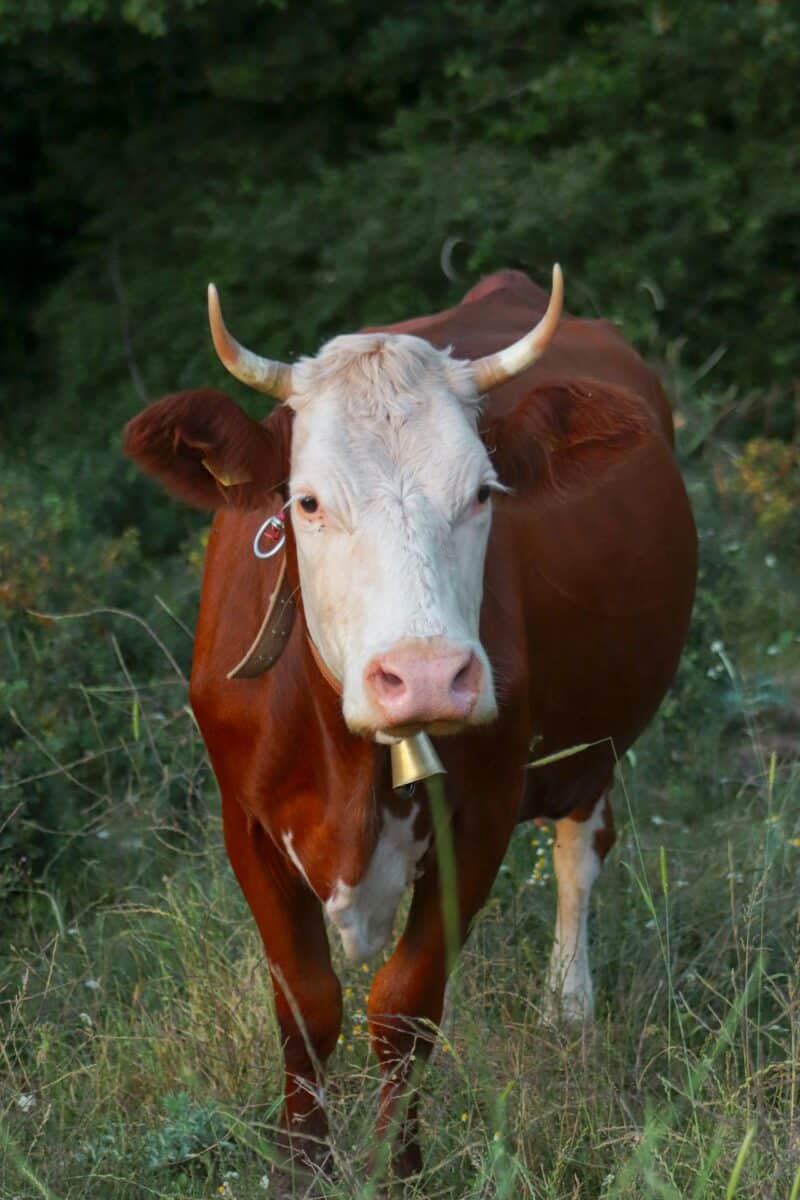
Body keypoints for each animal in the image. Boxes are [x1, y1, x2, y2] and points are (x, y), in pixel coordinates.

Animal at [123, 265, 697, 1183]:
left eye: (483, 493)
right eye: (307, 502)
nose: (426, 676)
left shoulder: (484, 816)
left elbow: (404, 1004)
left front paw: (403, 1169)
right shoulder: (244, 824)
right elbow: (307, 1005)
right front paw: (305, 1167)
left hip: (593, 748)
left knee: (580, 852)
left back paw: (567, 1007)